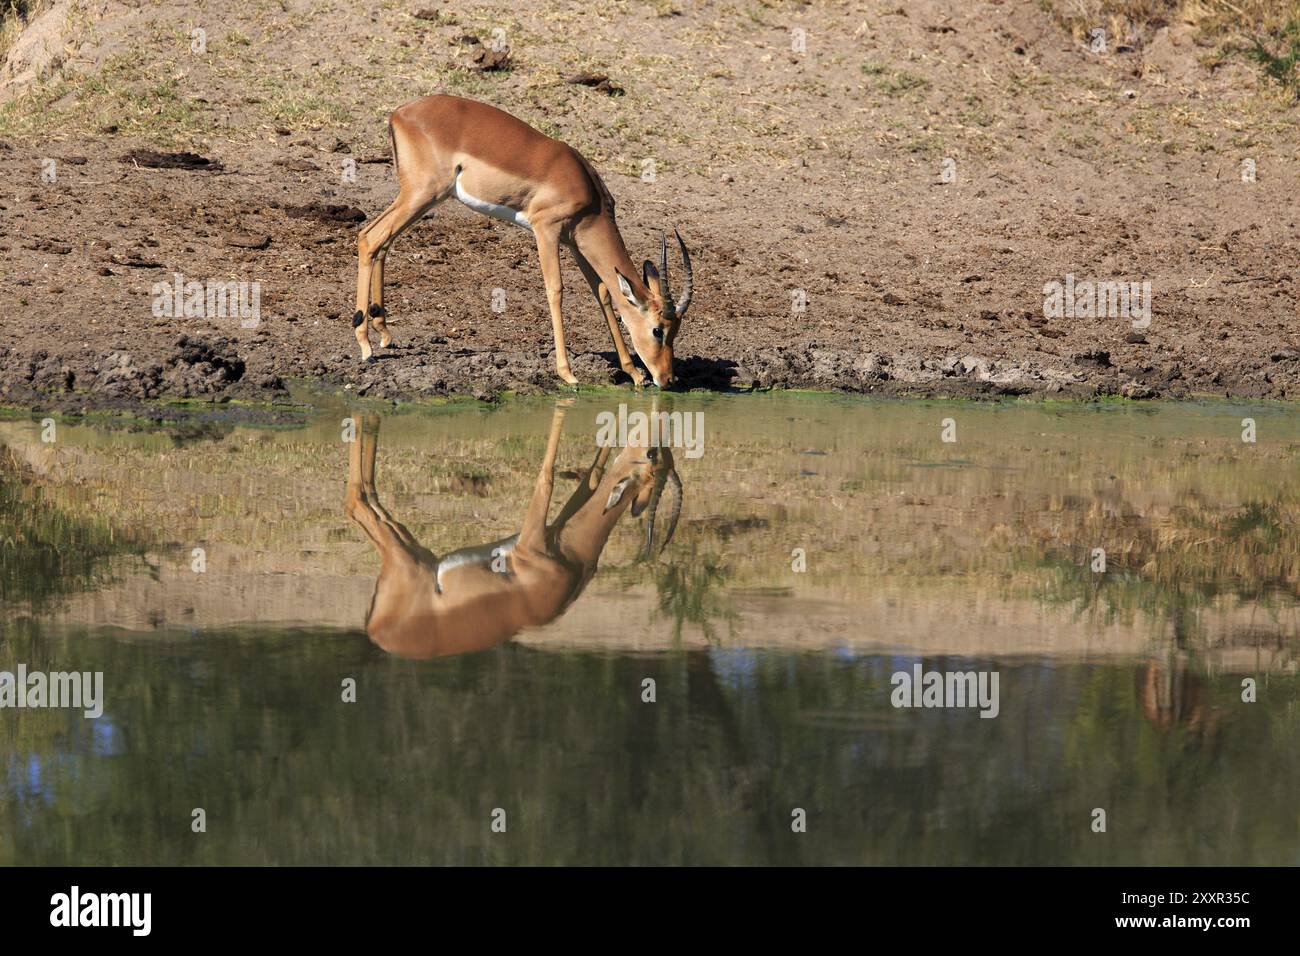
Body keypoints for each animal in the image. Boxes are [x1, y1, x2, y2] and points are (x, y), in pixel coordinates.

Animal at [345, 402, 683, 659]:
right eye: (653, 455)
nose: (652, 429)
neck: (572, 559)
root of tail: (376, 631)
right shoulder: (530, 540)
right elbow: (547, 477)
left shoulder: (553, 529)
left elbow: (591, 477)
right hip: (407, 560)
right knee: (357, 505)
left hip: (413, 550)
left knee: (366, 503)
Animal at [352, 94, 695, 388]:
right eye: (658, 330)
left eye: (677, 331)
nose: (667, 378)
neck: (588, 193)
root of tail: (399, 113)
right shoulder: (546, 230)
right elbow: (555, 290)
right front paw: (567, 373)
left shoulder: (576, 242)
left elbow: (603, 294)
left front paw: (633, 372)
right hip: (422, 194)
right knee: (369, 238)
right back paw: (365, 344)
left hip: (421, 198)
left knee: (381, 242)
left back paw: (383, 332)